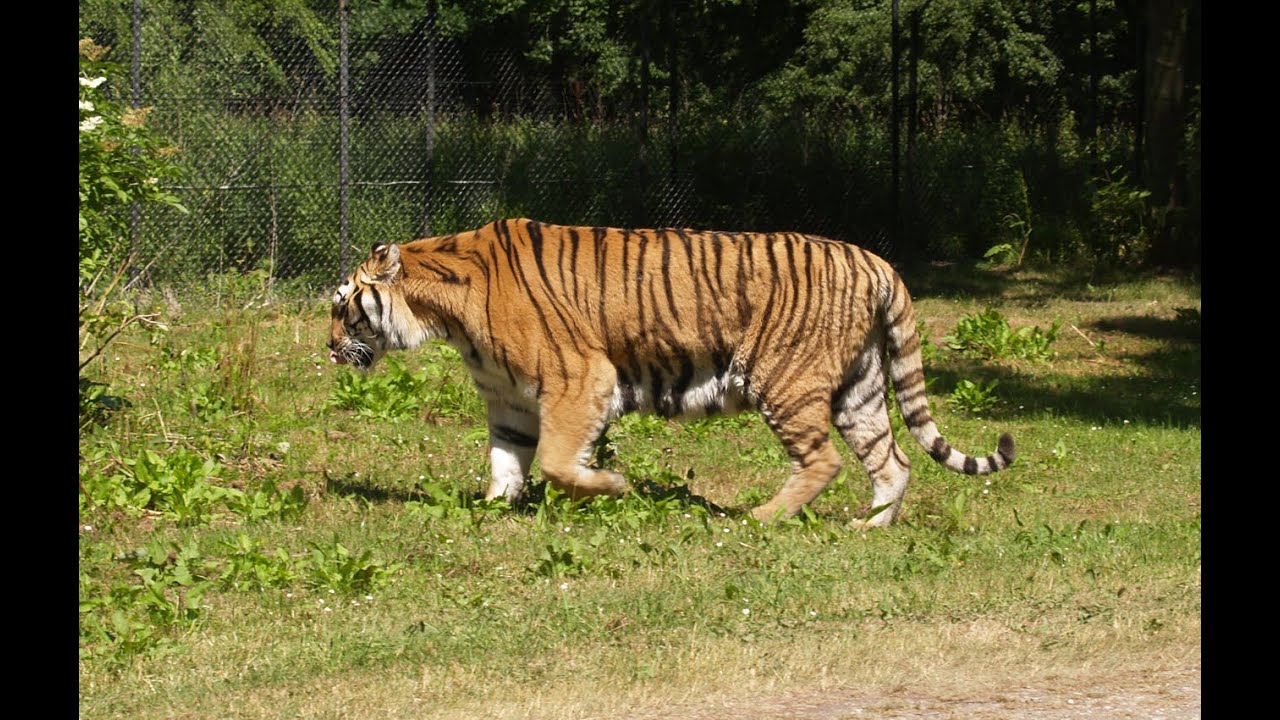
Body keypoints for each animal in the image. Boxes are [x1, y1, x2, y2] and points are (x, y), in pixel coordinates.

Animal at [328, 218, 1015, 526]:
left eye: (341, 305)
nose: (329, 349)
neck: (444, 315)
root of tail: (877, 261)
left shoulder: (580, 378)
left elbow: (555, 460)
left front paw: (613, 486)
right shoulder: (510, 401)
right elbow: (506, 461)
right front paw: (494, 513)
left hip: (785, 380)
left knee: (823, 461)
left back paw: (758, 519)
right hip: (861, 389)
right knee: (892, 462)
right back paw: (869, 529)